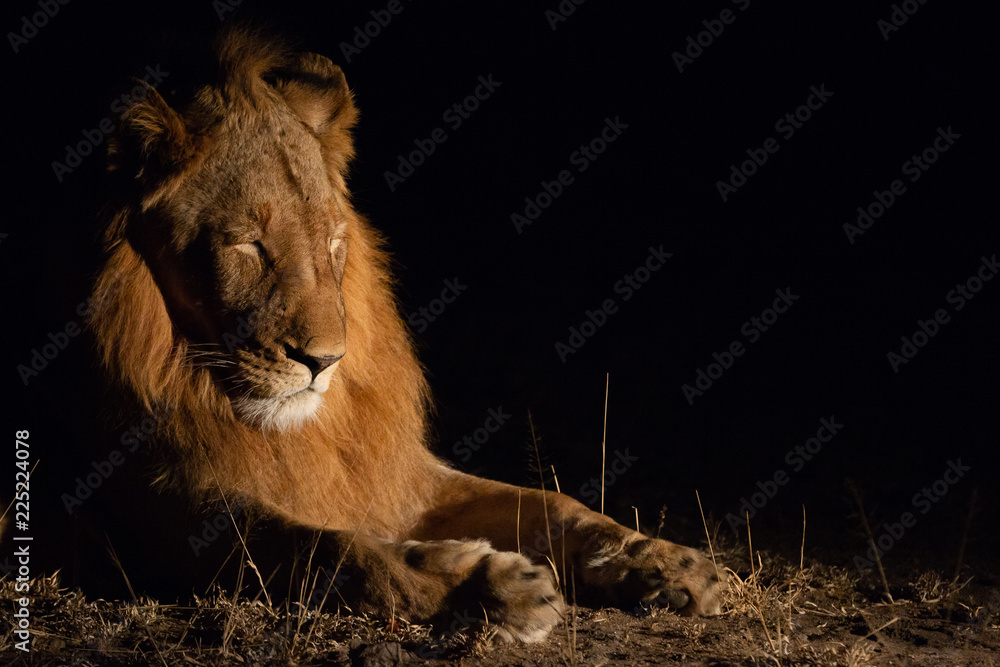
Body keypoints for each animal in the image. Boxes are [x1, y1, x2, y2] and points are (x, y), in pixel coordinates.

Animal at [82, 26, 723, 642]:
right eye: (247, 245)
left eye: (332, 243)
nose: (323, 362)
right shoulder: (155, 507)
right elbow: (325, 546)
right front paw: (494, 587)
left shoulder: (399, 478)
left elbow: (551, 503)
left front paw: (664, 561)